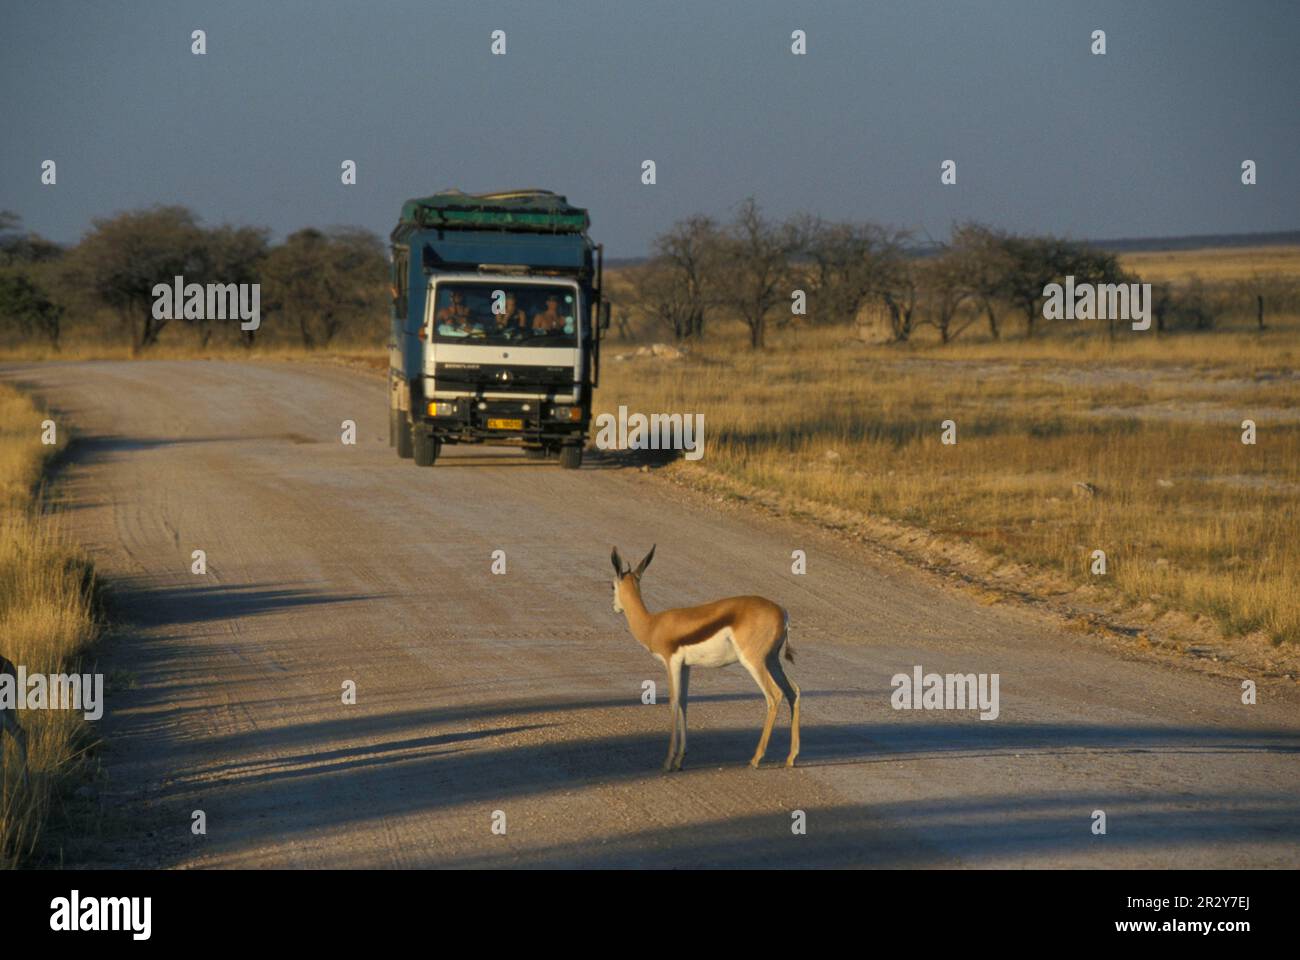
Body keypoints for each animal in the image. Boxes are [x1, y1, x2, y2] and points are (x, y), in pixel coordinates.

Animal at [610, 545, 800, 771]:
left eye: (612, 586)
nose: (615, 607)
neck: (652, 624)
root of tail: (783, 613)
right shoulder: (686, 666)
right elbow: (684, 702)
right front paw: (680, 759)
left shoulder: (671, 662)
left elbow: (673, 701)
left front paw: (668, 761)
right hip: (771, 660)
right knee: (793, 691)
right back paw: (791, 758)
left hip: (753, 662)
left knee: (774, 695)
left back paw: (755, 759)